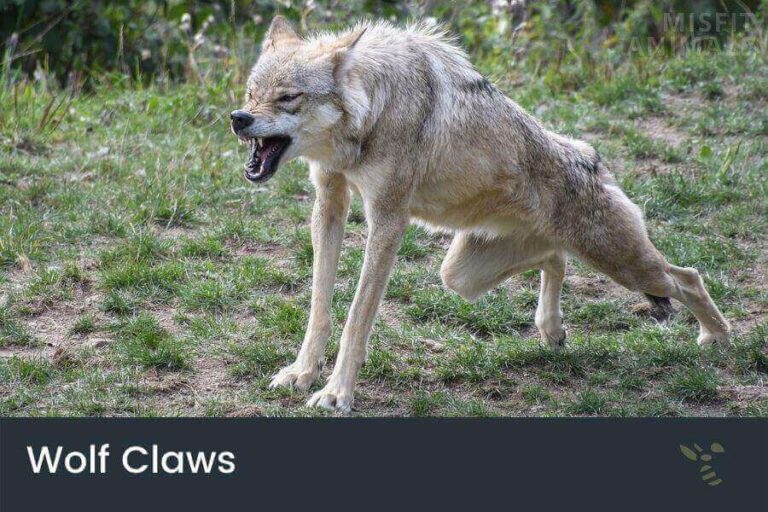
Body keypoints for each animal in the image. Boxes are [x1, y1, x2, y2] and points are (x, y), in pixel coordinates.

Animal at [230, 16, 730, 412]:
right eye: (252, 92)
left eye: (288, 97)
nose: (238, 118)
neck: (373, 109)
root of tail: (593, 157)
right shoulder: (329, 203)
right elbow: (320, 305)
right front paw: (301, 373)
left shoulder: (388, 220)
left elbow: (356, 316)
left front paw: (337, 393)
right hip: (461, 275)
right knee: (555, 258)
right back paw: (552, 330)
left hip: (625, 265)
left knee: (688, 277)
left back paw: (718, 340)